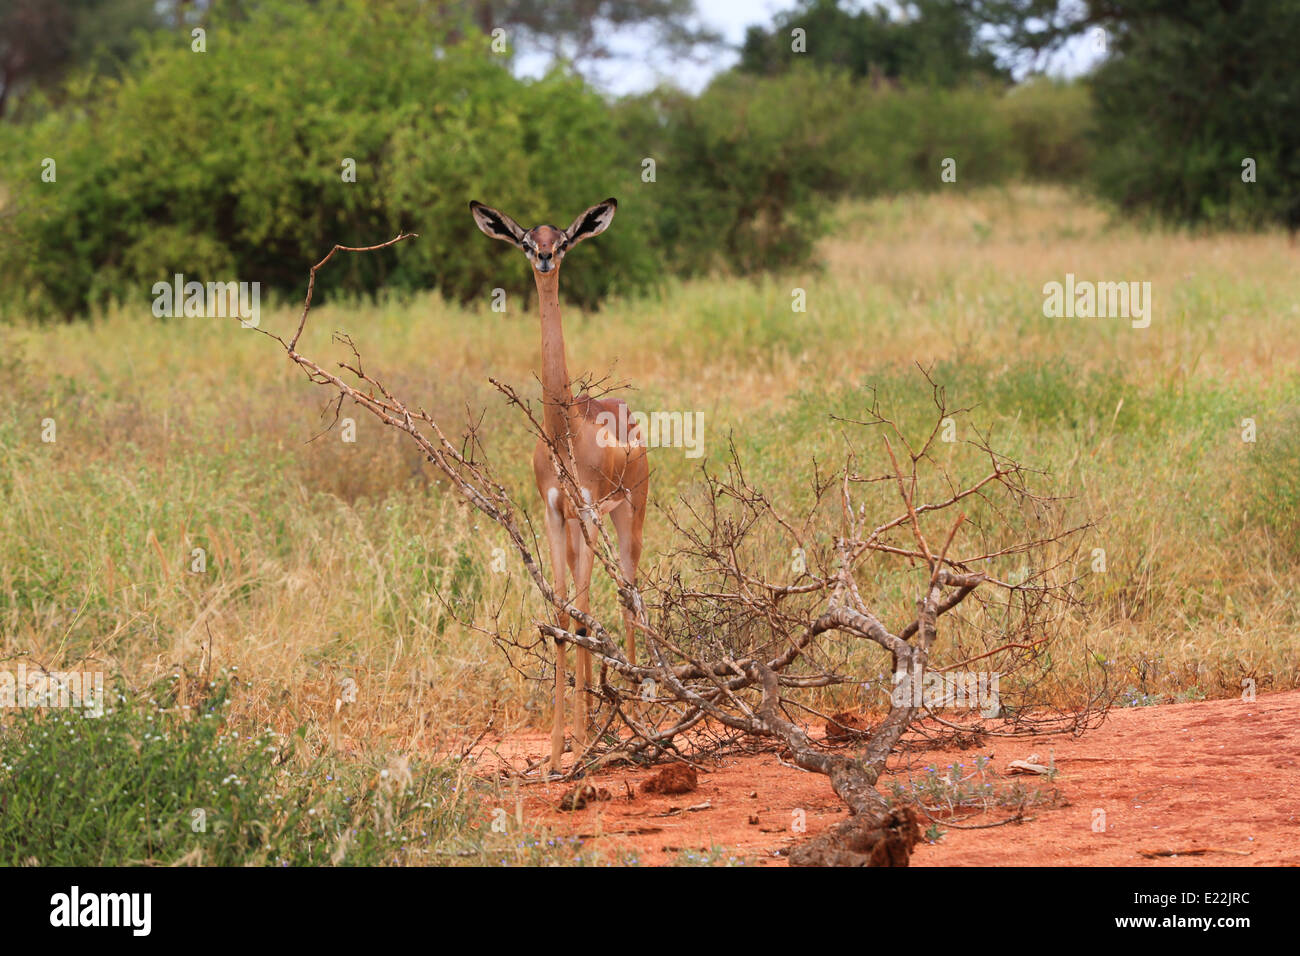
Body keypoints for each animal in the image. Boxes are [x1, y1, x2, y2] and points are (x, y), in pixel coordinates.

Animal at [470, 198, 649, 775]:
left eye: (565, 240)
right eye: (528, 240)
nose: (546, 258)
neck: (565, 430)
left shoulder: (589, 510)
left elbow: (586, 619)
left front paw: (583, 745)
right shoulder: (554, 512)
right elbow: (562, 617)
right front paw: (556, 752)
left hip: (628, 516)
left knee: (626, 598)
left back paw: (636, 719)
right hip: (577, 531)